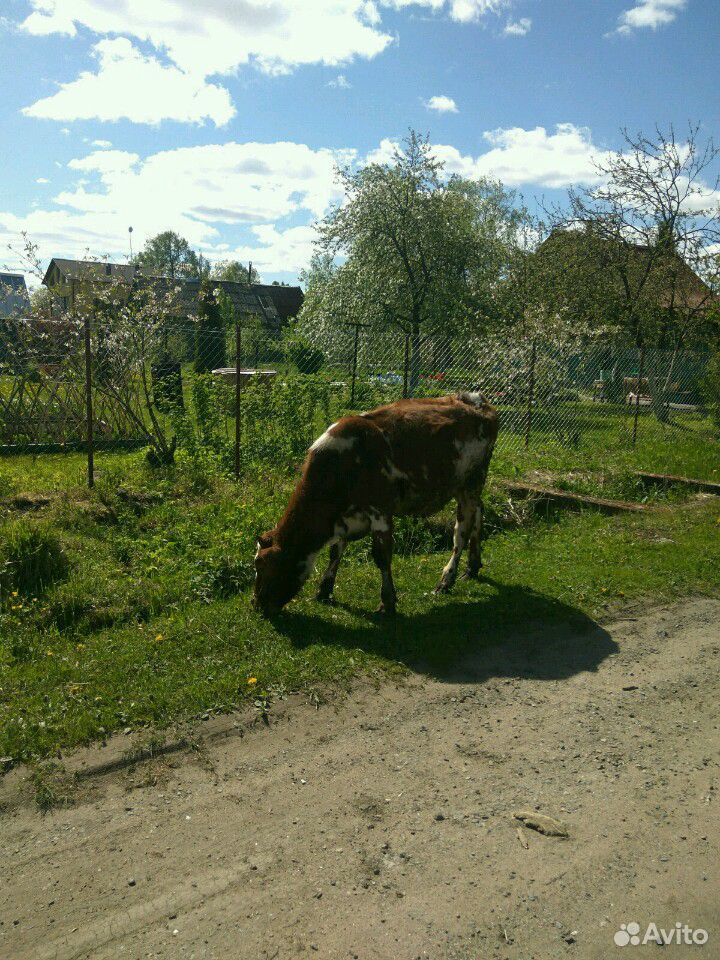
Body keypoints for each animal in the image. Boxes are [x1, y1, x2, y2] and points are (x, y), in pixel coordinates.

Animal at [253, 392, 498, 617]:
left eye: (264, 566)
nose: (256, 606)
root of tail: (476, 398)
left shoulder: (380, 512)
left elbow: (381, 557)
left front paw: (387, 602)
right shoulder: (344, 518)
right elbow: (335, 552)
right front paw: (324, 590)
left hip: (472, 482)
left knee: (461, 533)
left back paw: (447, 579)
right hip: (466, 487)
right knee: (479, 513)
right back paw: (473, 566)